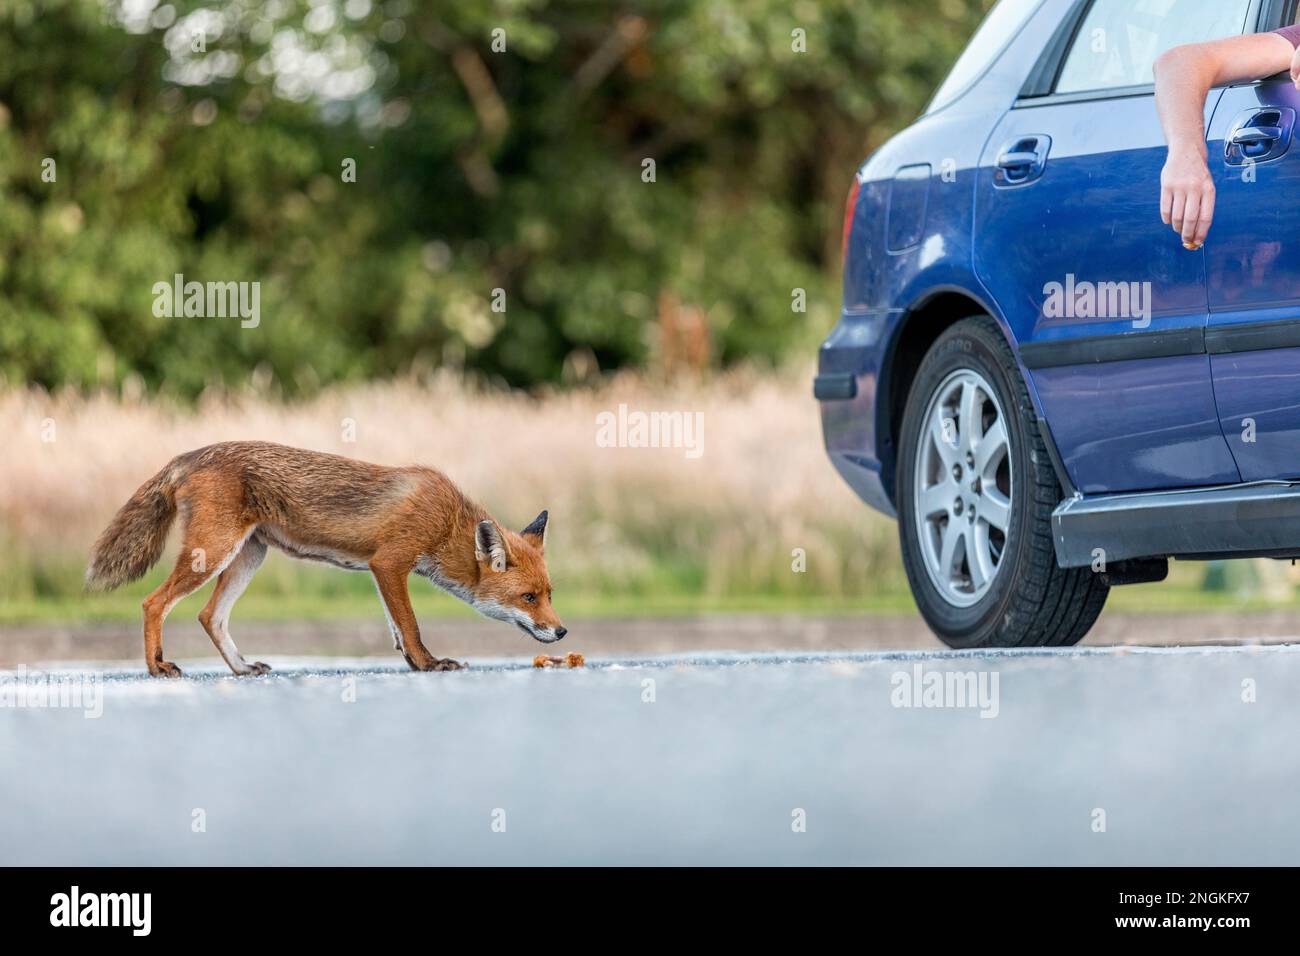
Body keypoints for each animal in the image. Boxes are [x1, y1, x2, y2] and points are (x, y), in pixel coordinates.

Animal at [85, 441, 565, 677]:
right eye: (528, 598)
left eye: (550, 594)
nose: (562, 632)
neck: (447, 523)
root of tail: (186, 456)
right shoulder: (390, 563)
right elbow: (410, 625)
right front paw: (430, 664)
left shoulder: (379, 570)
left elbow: (396, 628)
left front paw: (414, 664)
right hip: (213, 553)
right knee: (153, 604)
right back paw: (156, 667)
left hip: (249, 556)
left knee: (210, 616)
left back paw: (242, 668)